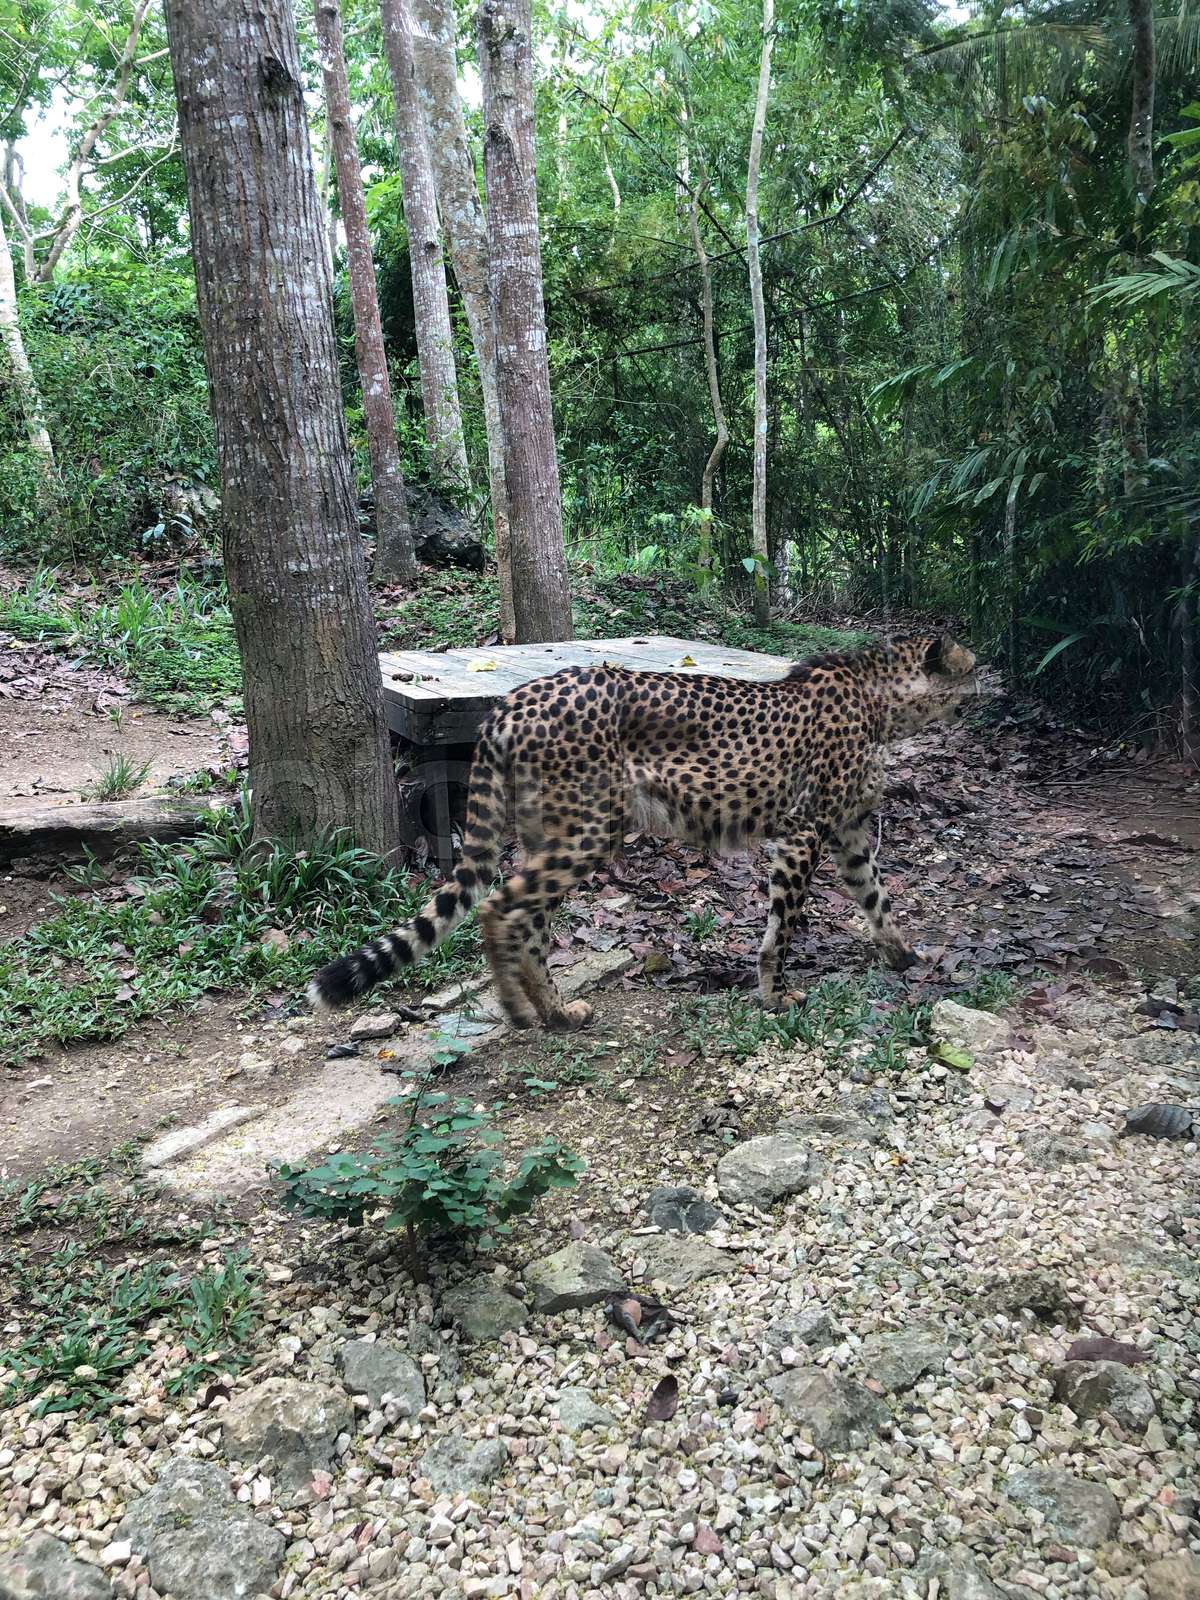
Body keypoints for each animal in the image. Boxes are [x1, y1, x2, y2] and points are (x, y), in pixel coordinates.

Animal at [308, 632, 978, 1030]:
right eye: (969, 670)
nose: (984, 686)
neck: (881, 701)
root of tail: (513, 699)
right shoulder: (804, 831)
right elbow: (783, 926)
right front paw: (774, 993)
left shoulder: (850, 833)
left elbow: (877, 896)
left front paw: (902, 954)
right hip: (589, 830)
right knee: (500, 905)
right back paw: (520, 1010)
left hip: (550, 834)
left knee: (531, 919)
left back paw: (555, 1009)